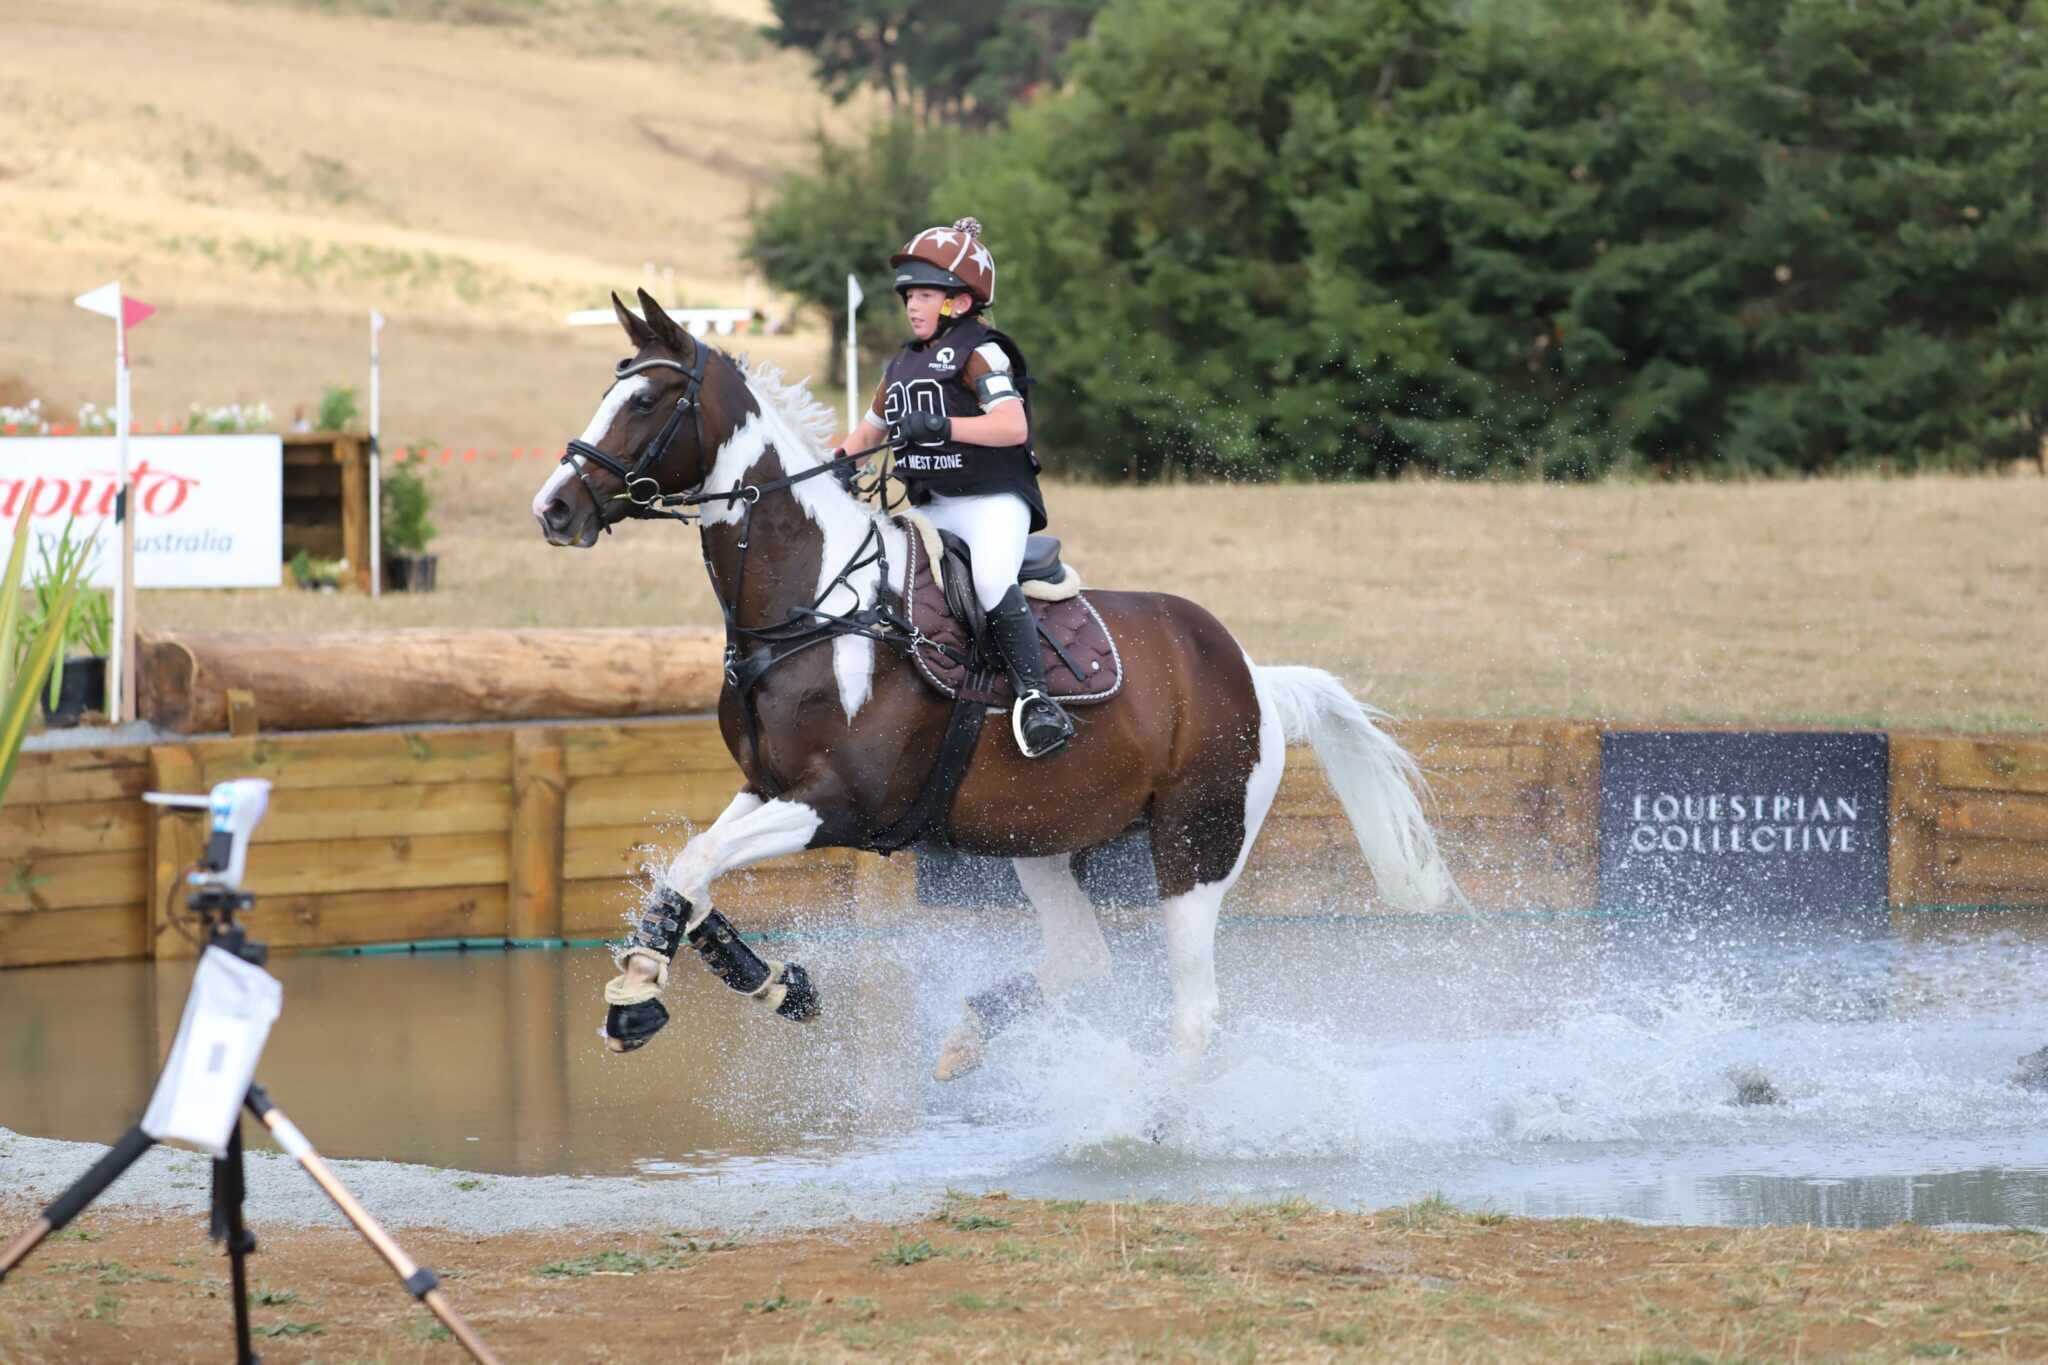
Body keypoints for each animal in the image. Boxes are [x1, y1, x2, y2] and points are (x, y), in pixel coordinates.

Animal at [532, 289, 1457, 1078]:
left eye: (647, 402)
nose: (554, 508)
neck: (818, 599)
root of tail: (1257, 678)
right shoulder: (767, 787)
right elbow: (686, 874)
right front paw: (742, 981)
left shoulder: (838, 804)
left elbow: (694, 861)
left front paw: (641, 996)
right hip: (1042, 836)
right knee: (1084, 956)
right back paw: (970, 1037)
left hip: (1195, 847)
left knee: (1194, 1009)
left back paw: (1153, 1120)